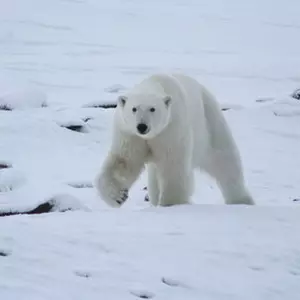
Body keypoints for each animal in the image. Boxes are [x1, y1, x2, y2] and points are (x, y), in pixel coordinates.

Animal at [95, 74, 254, 207]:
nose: (142, 126)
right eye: (134, 109)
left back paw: (242, 200)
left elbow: (173, 164)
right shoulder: (129, 133)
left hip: (209, 122)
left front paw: (171, 203)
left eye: (152, 109)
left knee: (224, 161)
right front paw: (118, 196)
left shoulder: (171, 128)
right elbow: (124, 161)